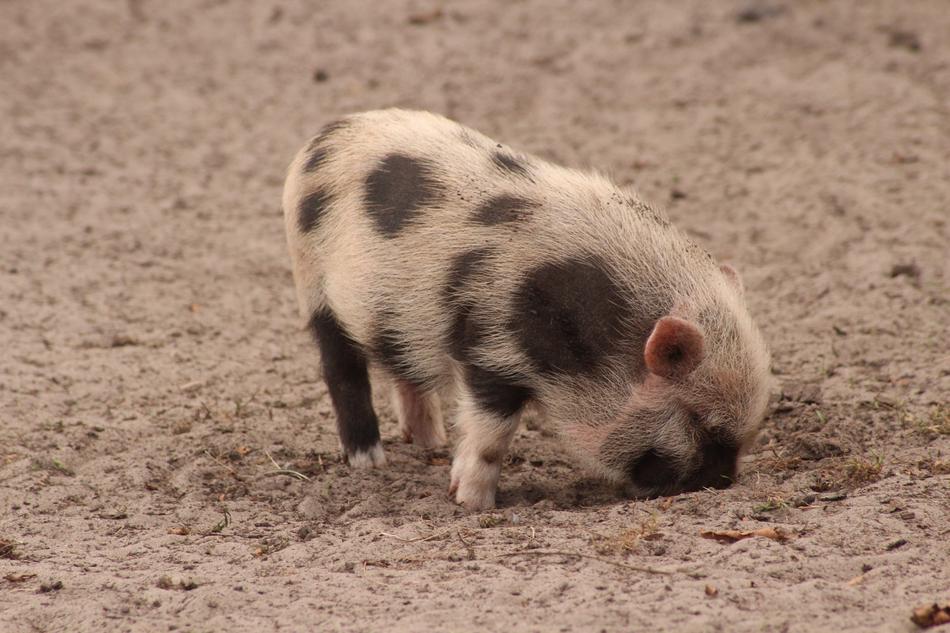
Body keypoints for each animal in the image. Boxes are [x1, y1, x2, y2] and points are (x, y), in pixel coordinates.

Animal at [282, 109, 772, 511]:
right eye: (699, 422)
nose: (722, 483)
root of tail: (324, 136)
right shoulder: (489, 344)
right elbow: (491, 433)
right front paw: (472, 504)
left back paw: (430, 444)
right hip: (313, 283)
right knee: (341, 370)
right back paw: (370, 462)